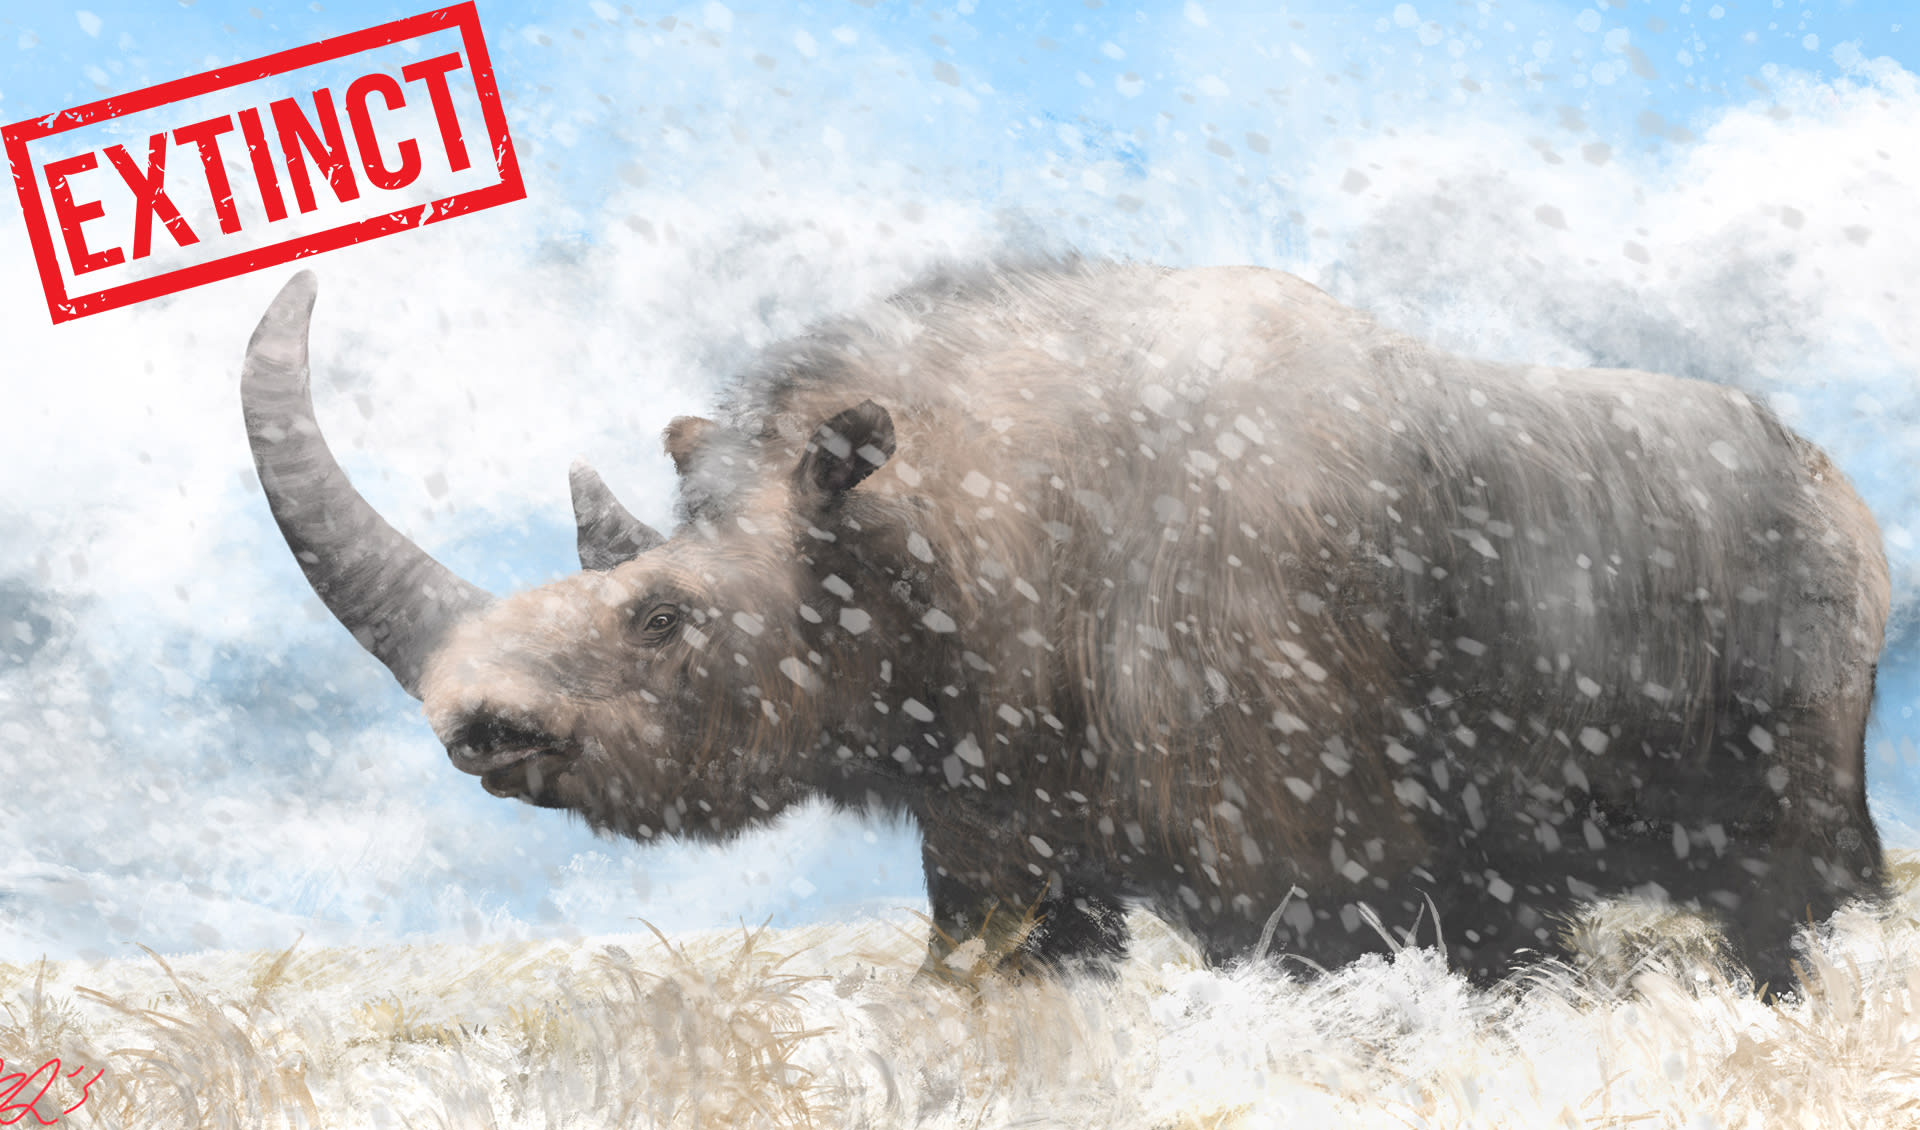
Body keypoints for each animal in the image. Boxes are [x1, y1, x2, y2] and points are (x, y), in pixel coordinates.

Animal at [241, 261, 1889, 991]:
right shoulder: (998, 830)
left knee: (1782, 879)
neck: (934, 518)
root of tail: (1848, 484)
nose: (479, 729)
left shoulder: (1313, 868)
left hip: (1811, 607)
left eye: (662, 617)